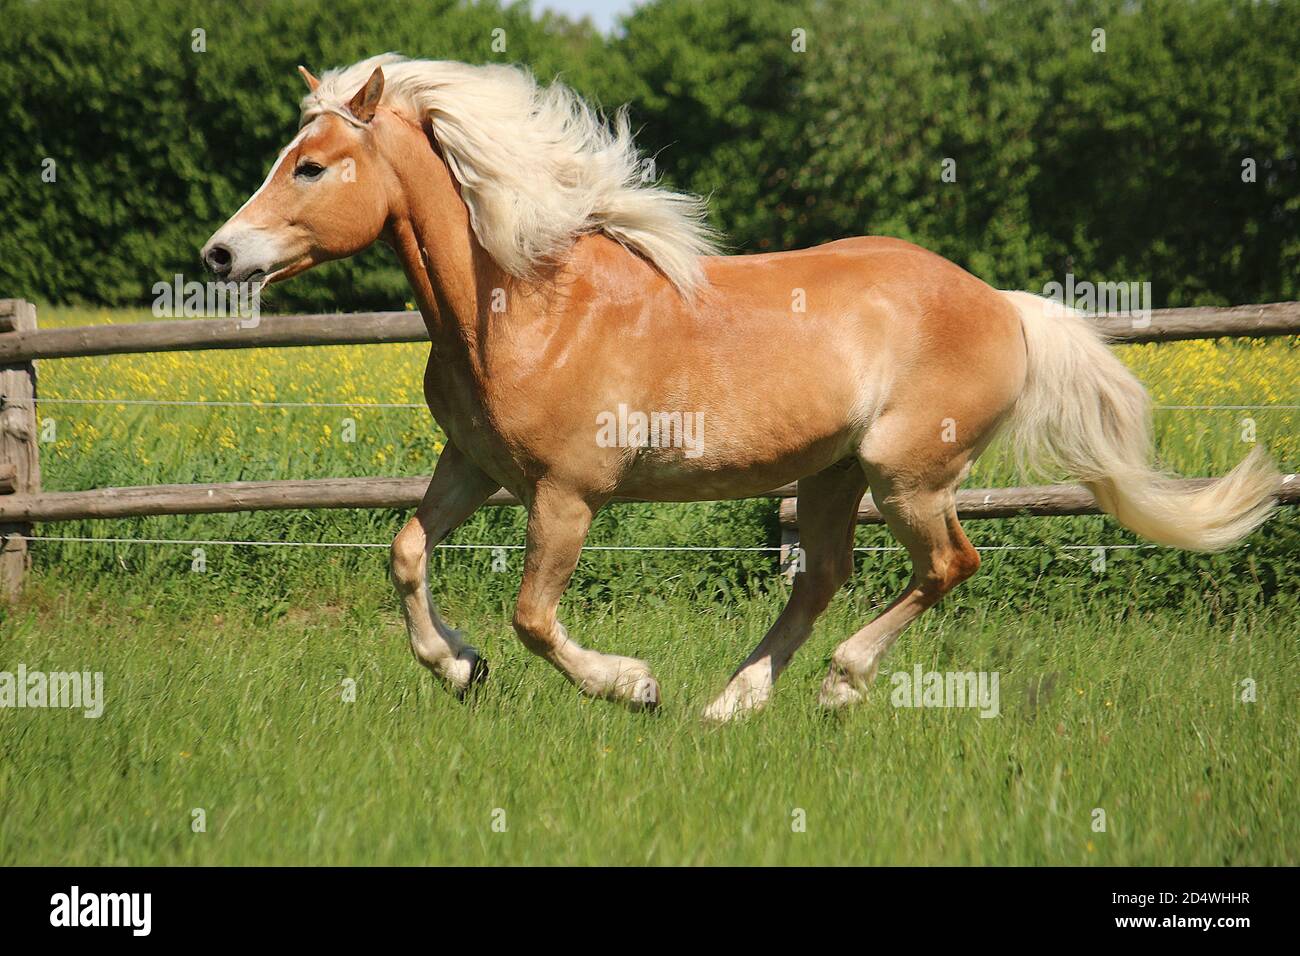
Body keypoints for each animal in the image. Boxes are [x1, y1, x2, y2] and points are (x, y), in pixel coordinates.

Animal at [201, 55, 1280, 721]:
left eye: (312, 166)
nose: (219, 255)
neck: (523, 303)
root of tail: (1003, 304)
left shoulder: (568, 493)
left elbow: (535, 618)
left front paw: (631, 686)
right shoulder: (473, 465)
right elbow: (405, 552)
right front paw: (458, 668)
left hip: (907, 473)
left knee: (948, 565)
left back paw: (834, 687)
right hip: (834, 473)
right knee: (824, 574)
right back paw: (730, 703)